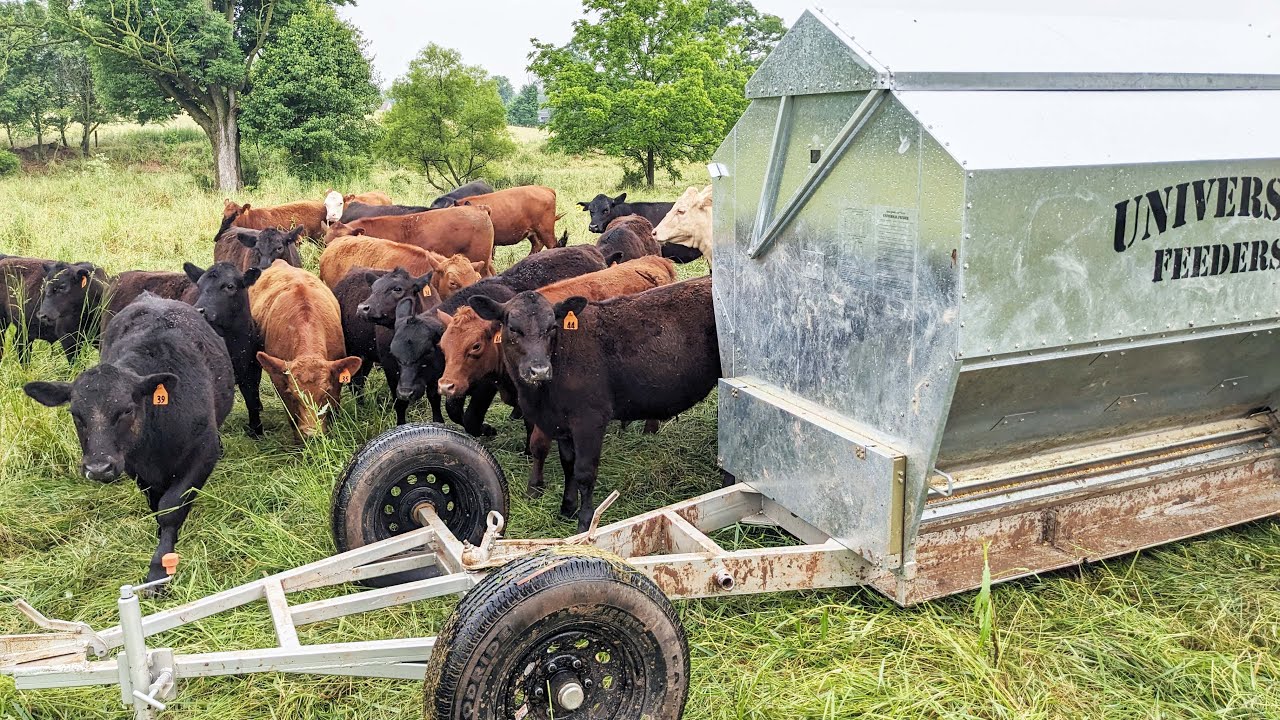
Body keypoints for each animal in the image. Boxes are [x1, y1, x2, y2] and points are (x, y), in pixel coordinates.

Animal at [23, 294, 235, 586]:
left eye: (125, 410)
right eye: (75, 414)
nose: (98, 468)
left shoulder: (203, 452)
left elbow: (170, 508)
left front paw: (159, 567)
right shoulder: (134, 466)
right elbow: (156, 506)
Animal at [184, 262, 265, 438]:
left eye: (230, 286)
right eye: (199, 285)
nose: (199, 310)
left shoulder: (252, 371)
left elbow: (252, 401)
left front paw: (257, 430)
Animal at [250, 260, 362, 441]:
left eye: (326, 393)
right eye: (294, 395)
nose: (312, 434)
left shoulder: (336, 383)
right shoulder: (280, 383)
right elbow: (292, 419)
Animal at [469, 277, 719, 531]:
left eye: (552, 327)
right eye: (513, 328)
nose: (539, 370)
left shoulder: (589, 420)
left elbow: (584, 472)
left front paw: (584, 521)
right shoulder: (561, 423)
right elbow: (568, 464)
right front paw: (567, 508)